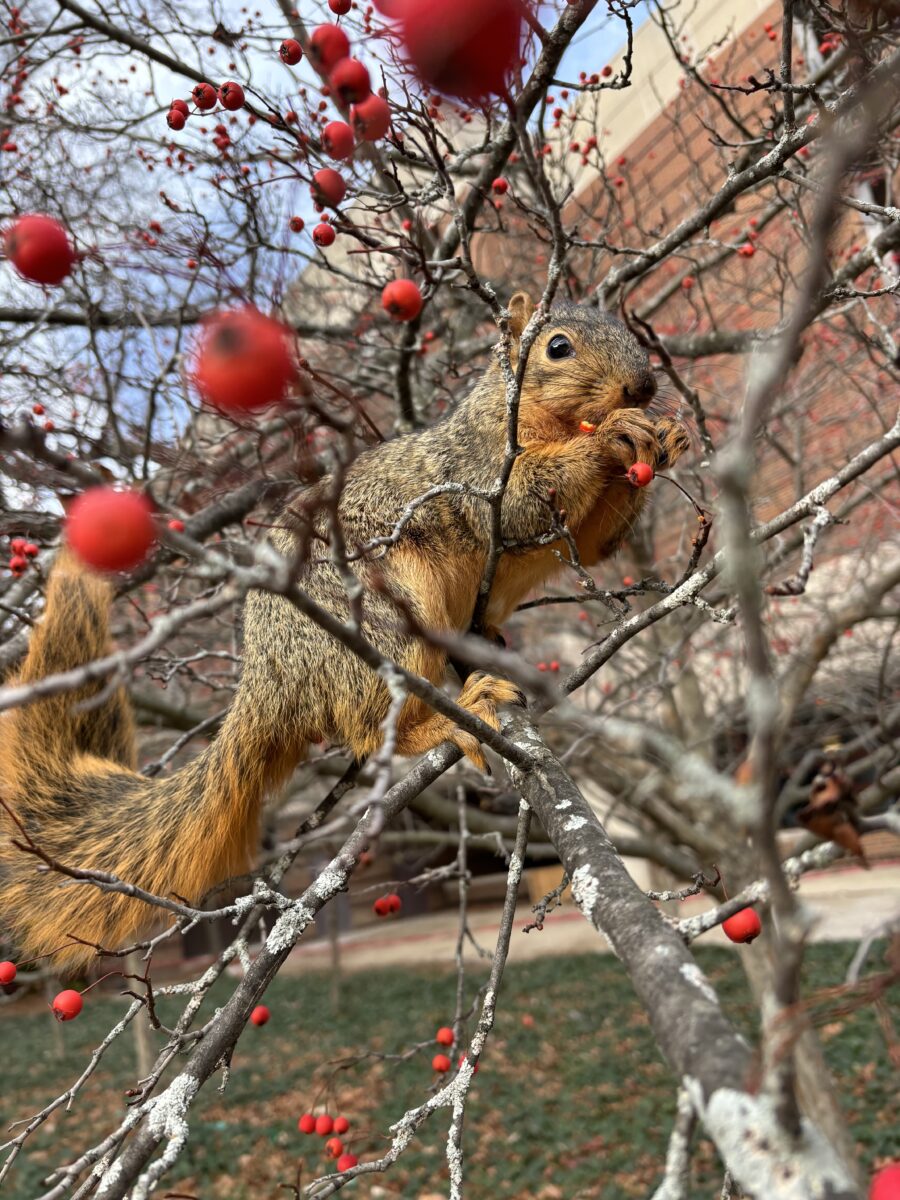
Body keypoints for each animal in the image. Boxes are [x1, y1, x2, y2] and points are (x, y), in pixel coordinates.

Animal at [0, 292, 690, 967]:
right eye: (557, 347)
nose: (643, 386)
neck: (524, 417)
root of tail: (270, 678)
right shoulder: (475, 475)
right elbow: (526, 498)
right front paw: (610, 439)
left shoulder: (584, 534)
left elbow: (598, 546)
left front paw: (668, 434)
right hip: (382, 620)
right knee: (372, 728)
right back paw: (456, 711)